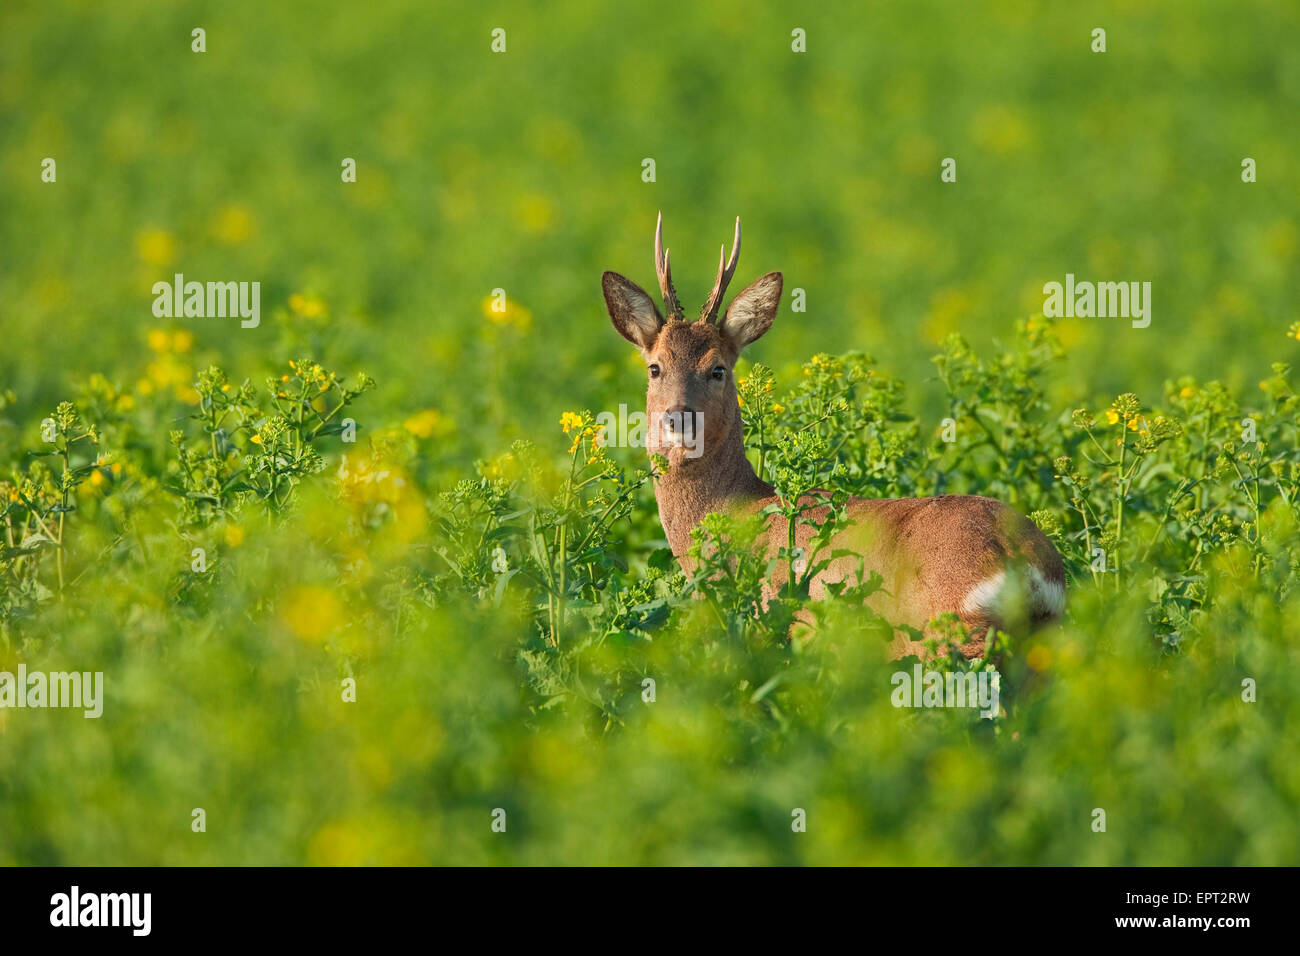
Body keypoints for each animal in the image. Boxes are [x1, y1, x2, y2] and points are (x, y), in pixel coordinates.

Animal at [600, 213, 1065, 659]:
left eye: (718, 369)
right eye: (655, 367)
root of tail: (1025, 565)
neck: (739, 509)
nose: (678, 419)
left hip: (945, 631)